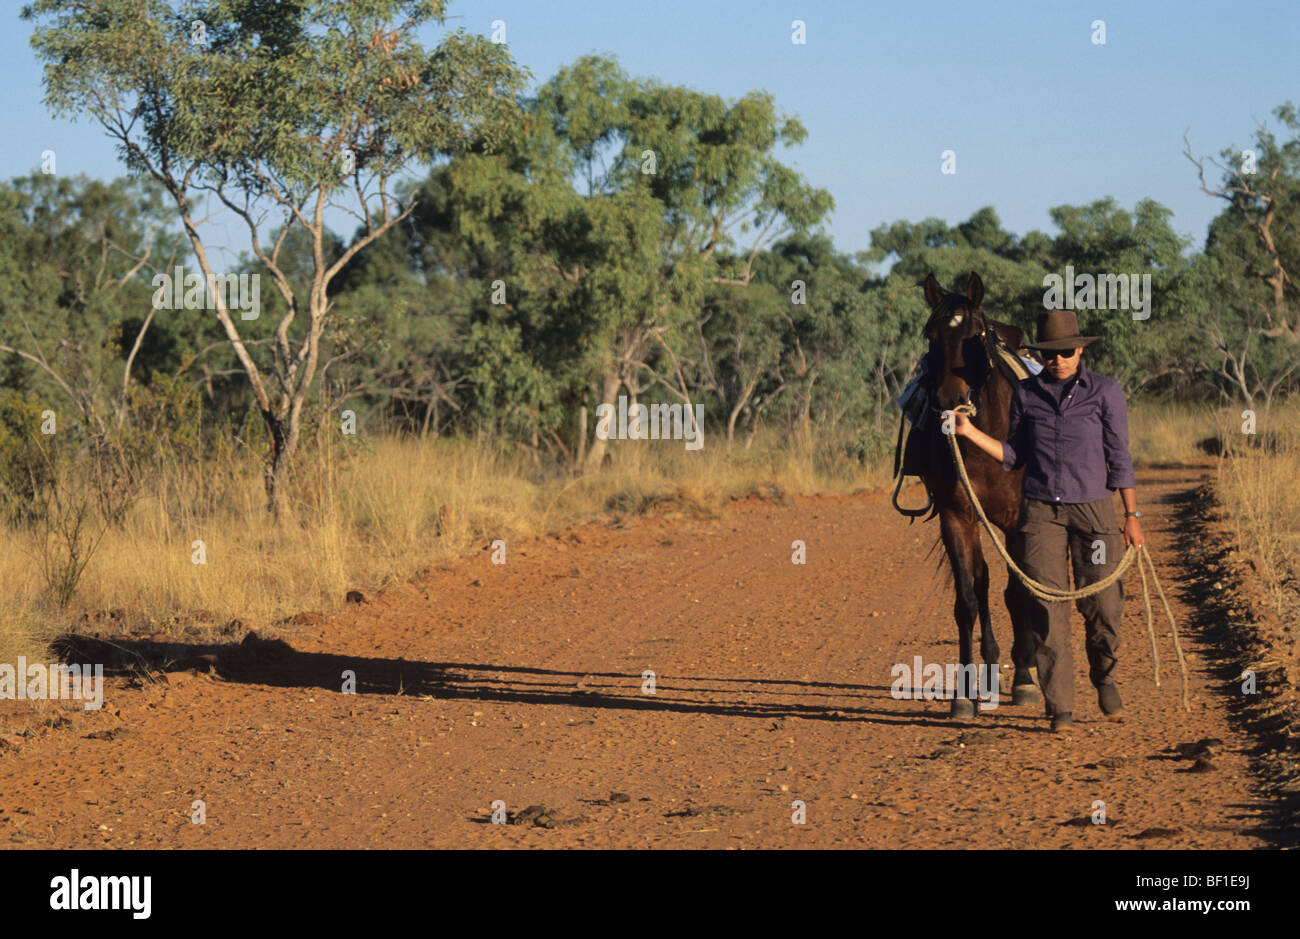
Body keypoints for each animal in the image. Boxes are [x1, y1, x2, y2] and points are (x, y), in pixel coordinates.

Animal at [913, 271, 1041, 718]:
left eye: (974, 336)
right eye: (930, 334)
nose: (950, 403)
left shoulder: (1017, 520)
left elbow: (1018, 592)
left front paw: (1025, 679)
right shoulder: (957, 517)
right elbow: (968, 597)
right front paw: (964, 695)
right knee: (983, 581)